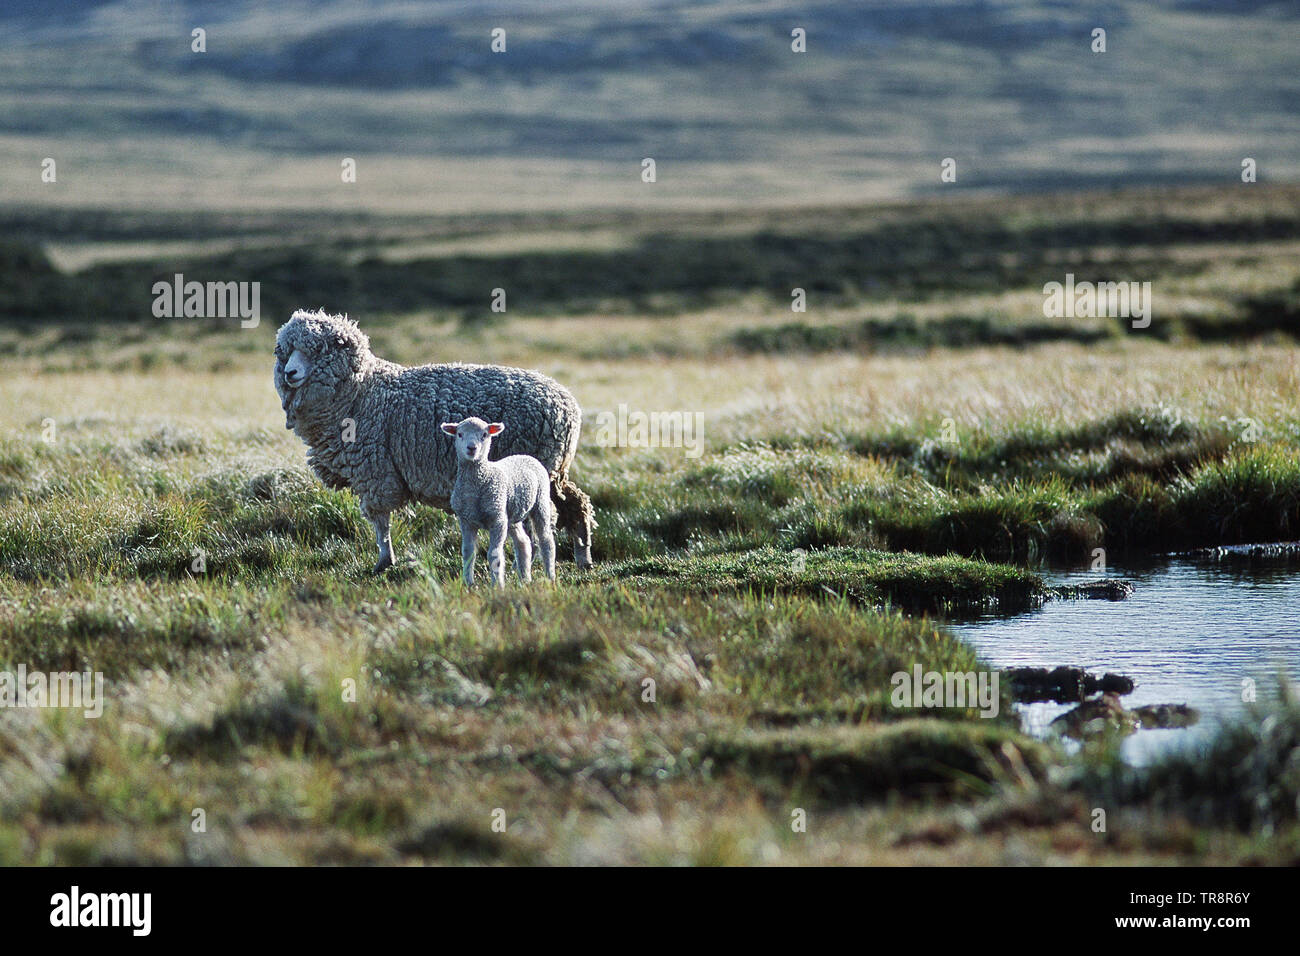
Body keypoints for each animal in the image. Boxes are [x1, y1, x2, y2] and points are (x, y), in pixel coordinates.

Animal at [442, 417, 556, 587]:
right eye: (460, 434)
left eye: (484, 435)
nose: (471, 448)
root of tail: (525, 455)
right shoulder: (466, 520)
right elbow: (468, 552)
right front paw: (468, 584)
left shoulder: (497, 520)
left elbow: (494, 554)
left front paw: (497, 585)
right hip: (510, 513)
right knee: (523, 542)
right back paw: (525, 579)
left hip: (540, 503)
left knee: (546, 540)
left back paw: (550, 577)